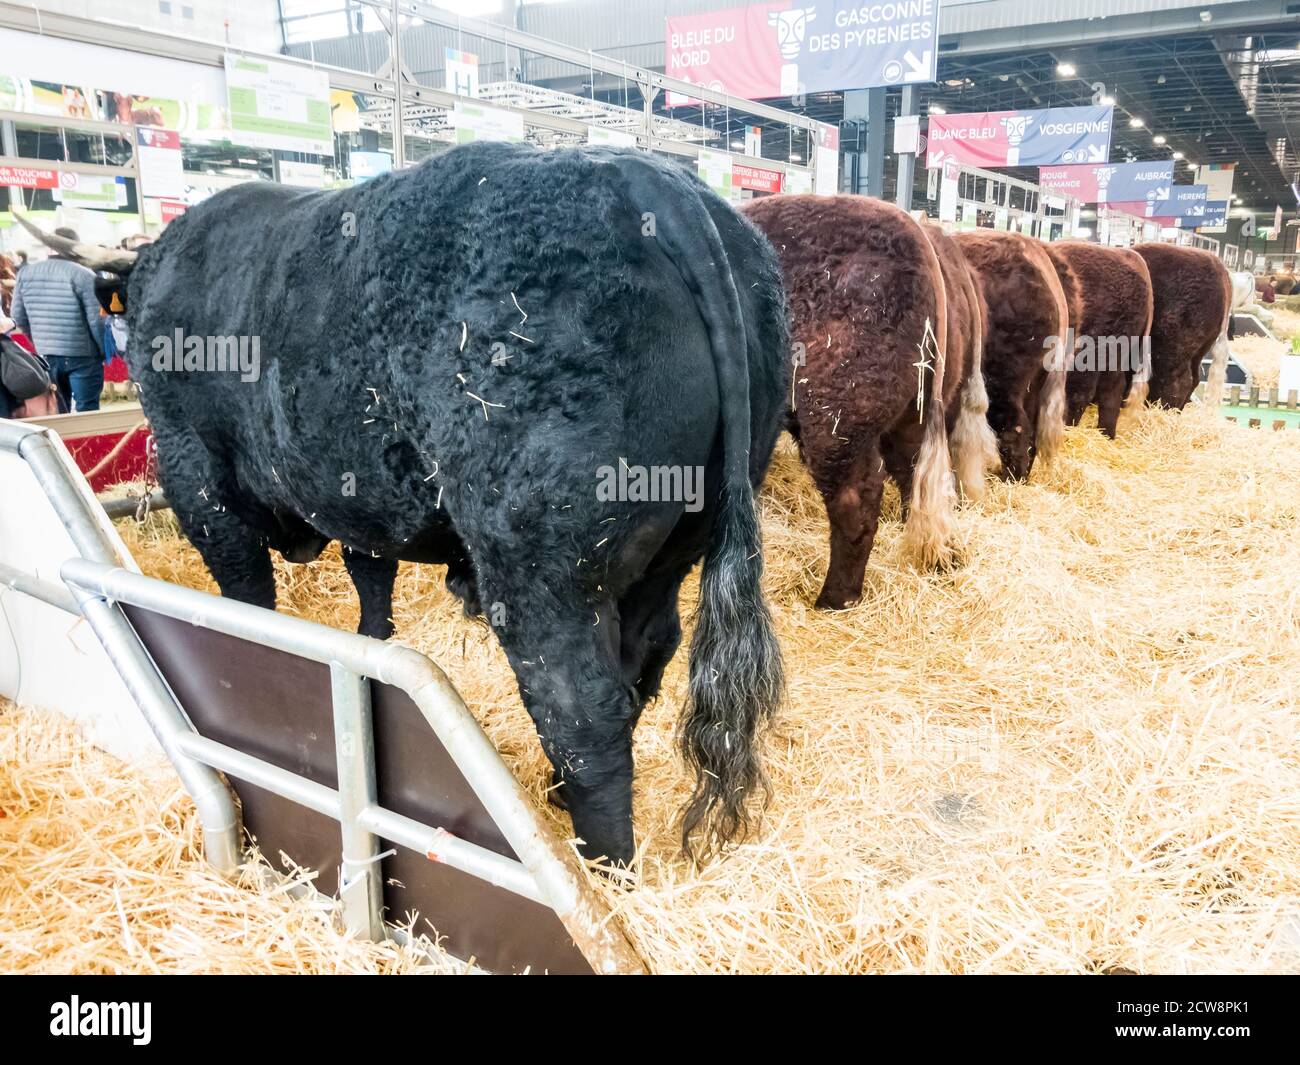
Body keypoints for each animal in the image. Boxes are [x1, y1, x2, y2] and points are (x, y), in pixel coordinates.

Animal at [19, 142, 791, 868]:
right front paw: (369, 644)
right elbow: (371, 579)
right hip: (676, 546)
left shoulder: (198, 474)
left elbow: (247, 599)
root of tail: (653, 178)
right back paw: (559, 795)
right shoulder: (357, 495)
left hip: (540, 563)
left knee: (584, 710)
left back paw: (603, 865)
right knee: (644, 656)